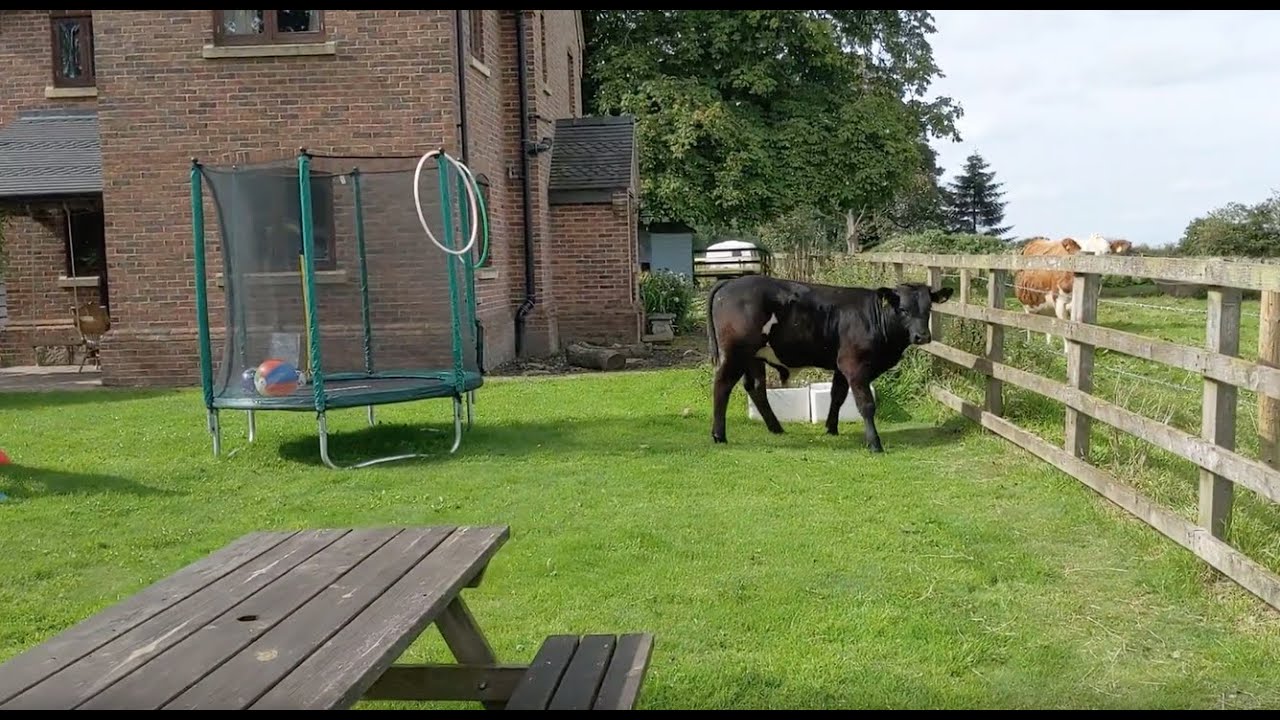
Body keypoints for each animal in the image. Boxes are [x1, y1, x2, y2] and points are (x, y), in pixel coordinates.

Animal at [705, 275, 953, 452]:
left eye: (929, 308)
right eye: (902, 309)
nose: (922, 336)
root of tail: (732, 281)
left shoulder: (841, 366)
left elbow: (837, 396)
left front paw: (831, 428)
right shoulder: (854, 365)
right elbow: (866, 404)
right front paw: (874, 443)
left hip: (753, 357)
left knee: (755, 387)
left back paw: (776, 428)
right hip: (735, 353)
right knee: (722, 386)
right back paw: (719, 435)